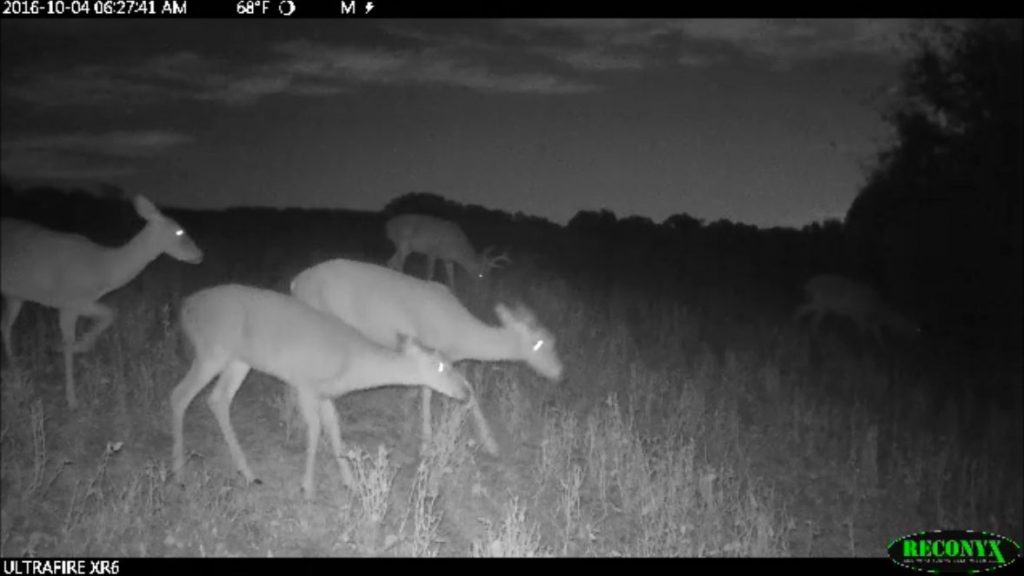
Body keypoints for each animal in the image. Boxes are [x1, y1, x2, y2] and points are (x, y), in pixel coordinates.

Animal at [1, 195, 203, 410]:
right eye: (179, 231)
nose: (200, 255)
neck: (103, 269)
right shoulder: (68, 302)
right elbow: (68, 341)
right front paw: (72, 399)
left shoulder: (84, 302)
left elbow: (109, 314)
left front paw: (80, 346)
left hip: (15, 295)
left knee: (5, 325)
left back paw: (13, 365)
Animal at [170, 284, 471, 500]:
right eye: (441, 366)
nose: (466, 391)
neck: (352, 364)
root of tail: (186, 306)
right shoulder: (305, 385)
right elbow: (314, 431)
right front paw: (307, 488)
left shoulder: (326, 395)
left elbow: (335, 431)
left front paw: (351, 484)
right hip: (212, 351)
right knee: (179, 396)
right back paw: (180, 474)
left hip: (238, 360)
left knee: (218, 399)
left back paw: (248, 473)